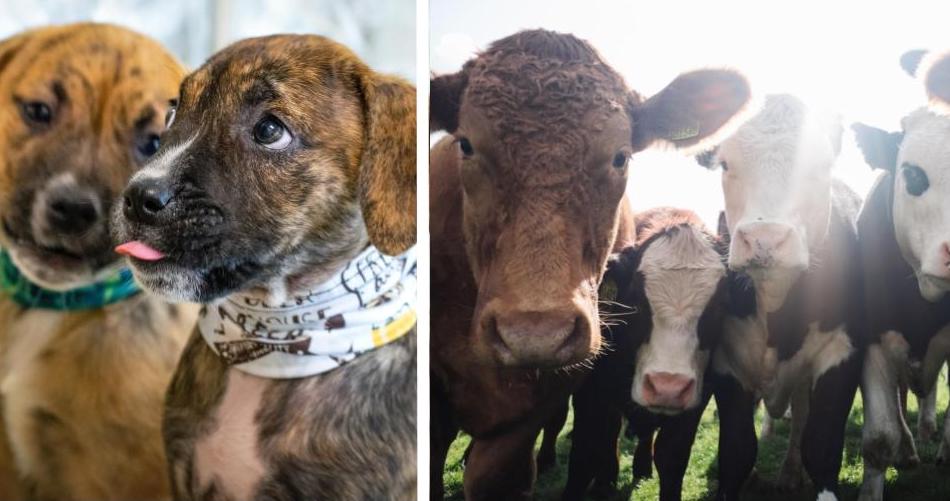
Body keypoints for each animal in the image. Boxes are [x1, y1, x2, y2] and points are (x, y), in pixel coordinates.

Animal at [561, 208, 756, 501]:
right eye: (637, 300)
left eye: (720, 306)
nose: (667, 387)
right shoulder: (591, 392)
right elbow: (584, 456)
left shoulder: (694, 401)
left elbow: (671, 457)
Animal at [697, 94, 865, 501]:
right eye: (725, 163)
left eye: (821, 165)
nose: (765, 239)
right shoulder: (727, 362)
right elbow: (737, 450)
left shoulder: (843, 352)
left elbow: (821, 445)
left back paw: (790, 472)